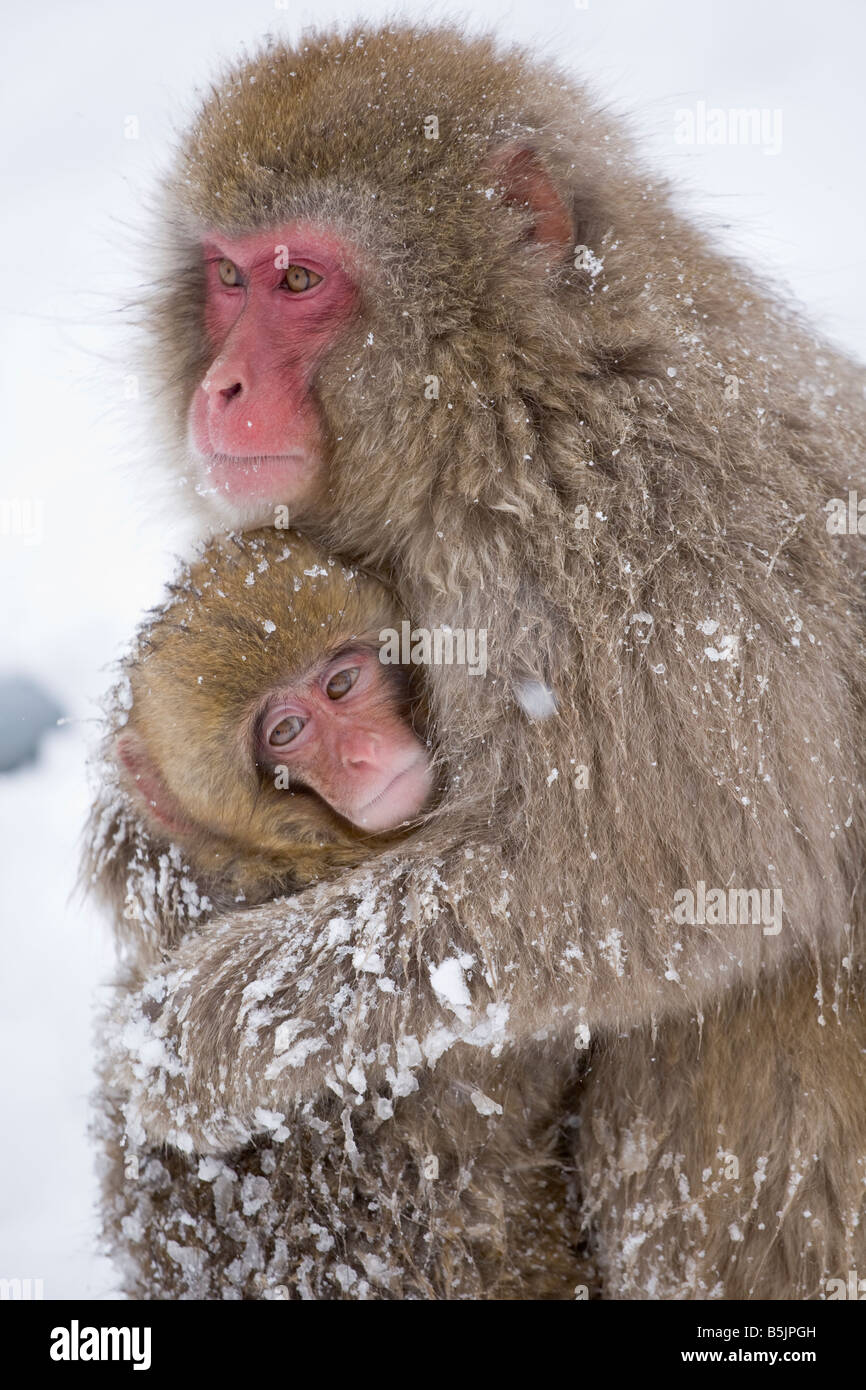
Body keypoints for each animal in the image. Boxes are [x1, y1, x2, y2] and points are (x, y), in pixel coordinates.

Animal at [90, 25, 866, 1299]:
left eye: (299, 281)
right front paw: (152, 839)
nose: (222, 386)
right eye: (227, 279)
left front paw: (184, 1039)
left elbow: (635, 887)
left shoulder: (627, 546)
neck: (510, 389)